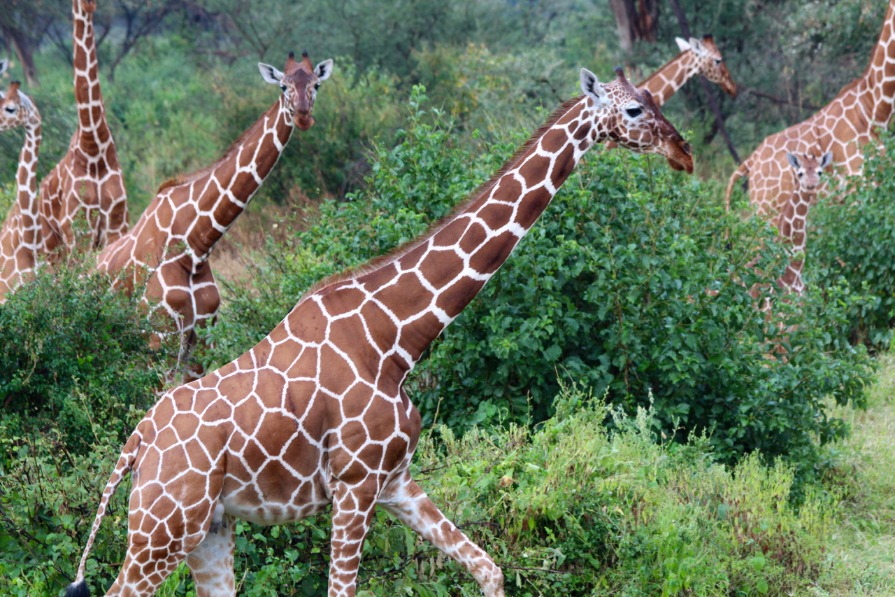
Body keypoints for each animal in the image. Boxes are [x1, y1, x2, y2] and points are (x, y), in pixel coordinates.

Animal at [94, 52, 333, 379]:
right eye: (283, 86)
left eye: (316, 85)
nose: (303, 116)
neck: (195, 246)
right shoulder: (159, 337)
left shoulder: (203, 338)